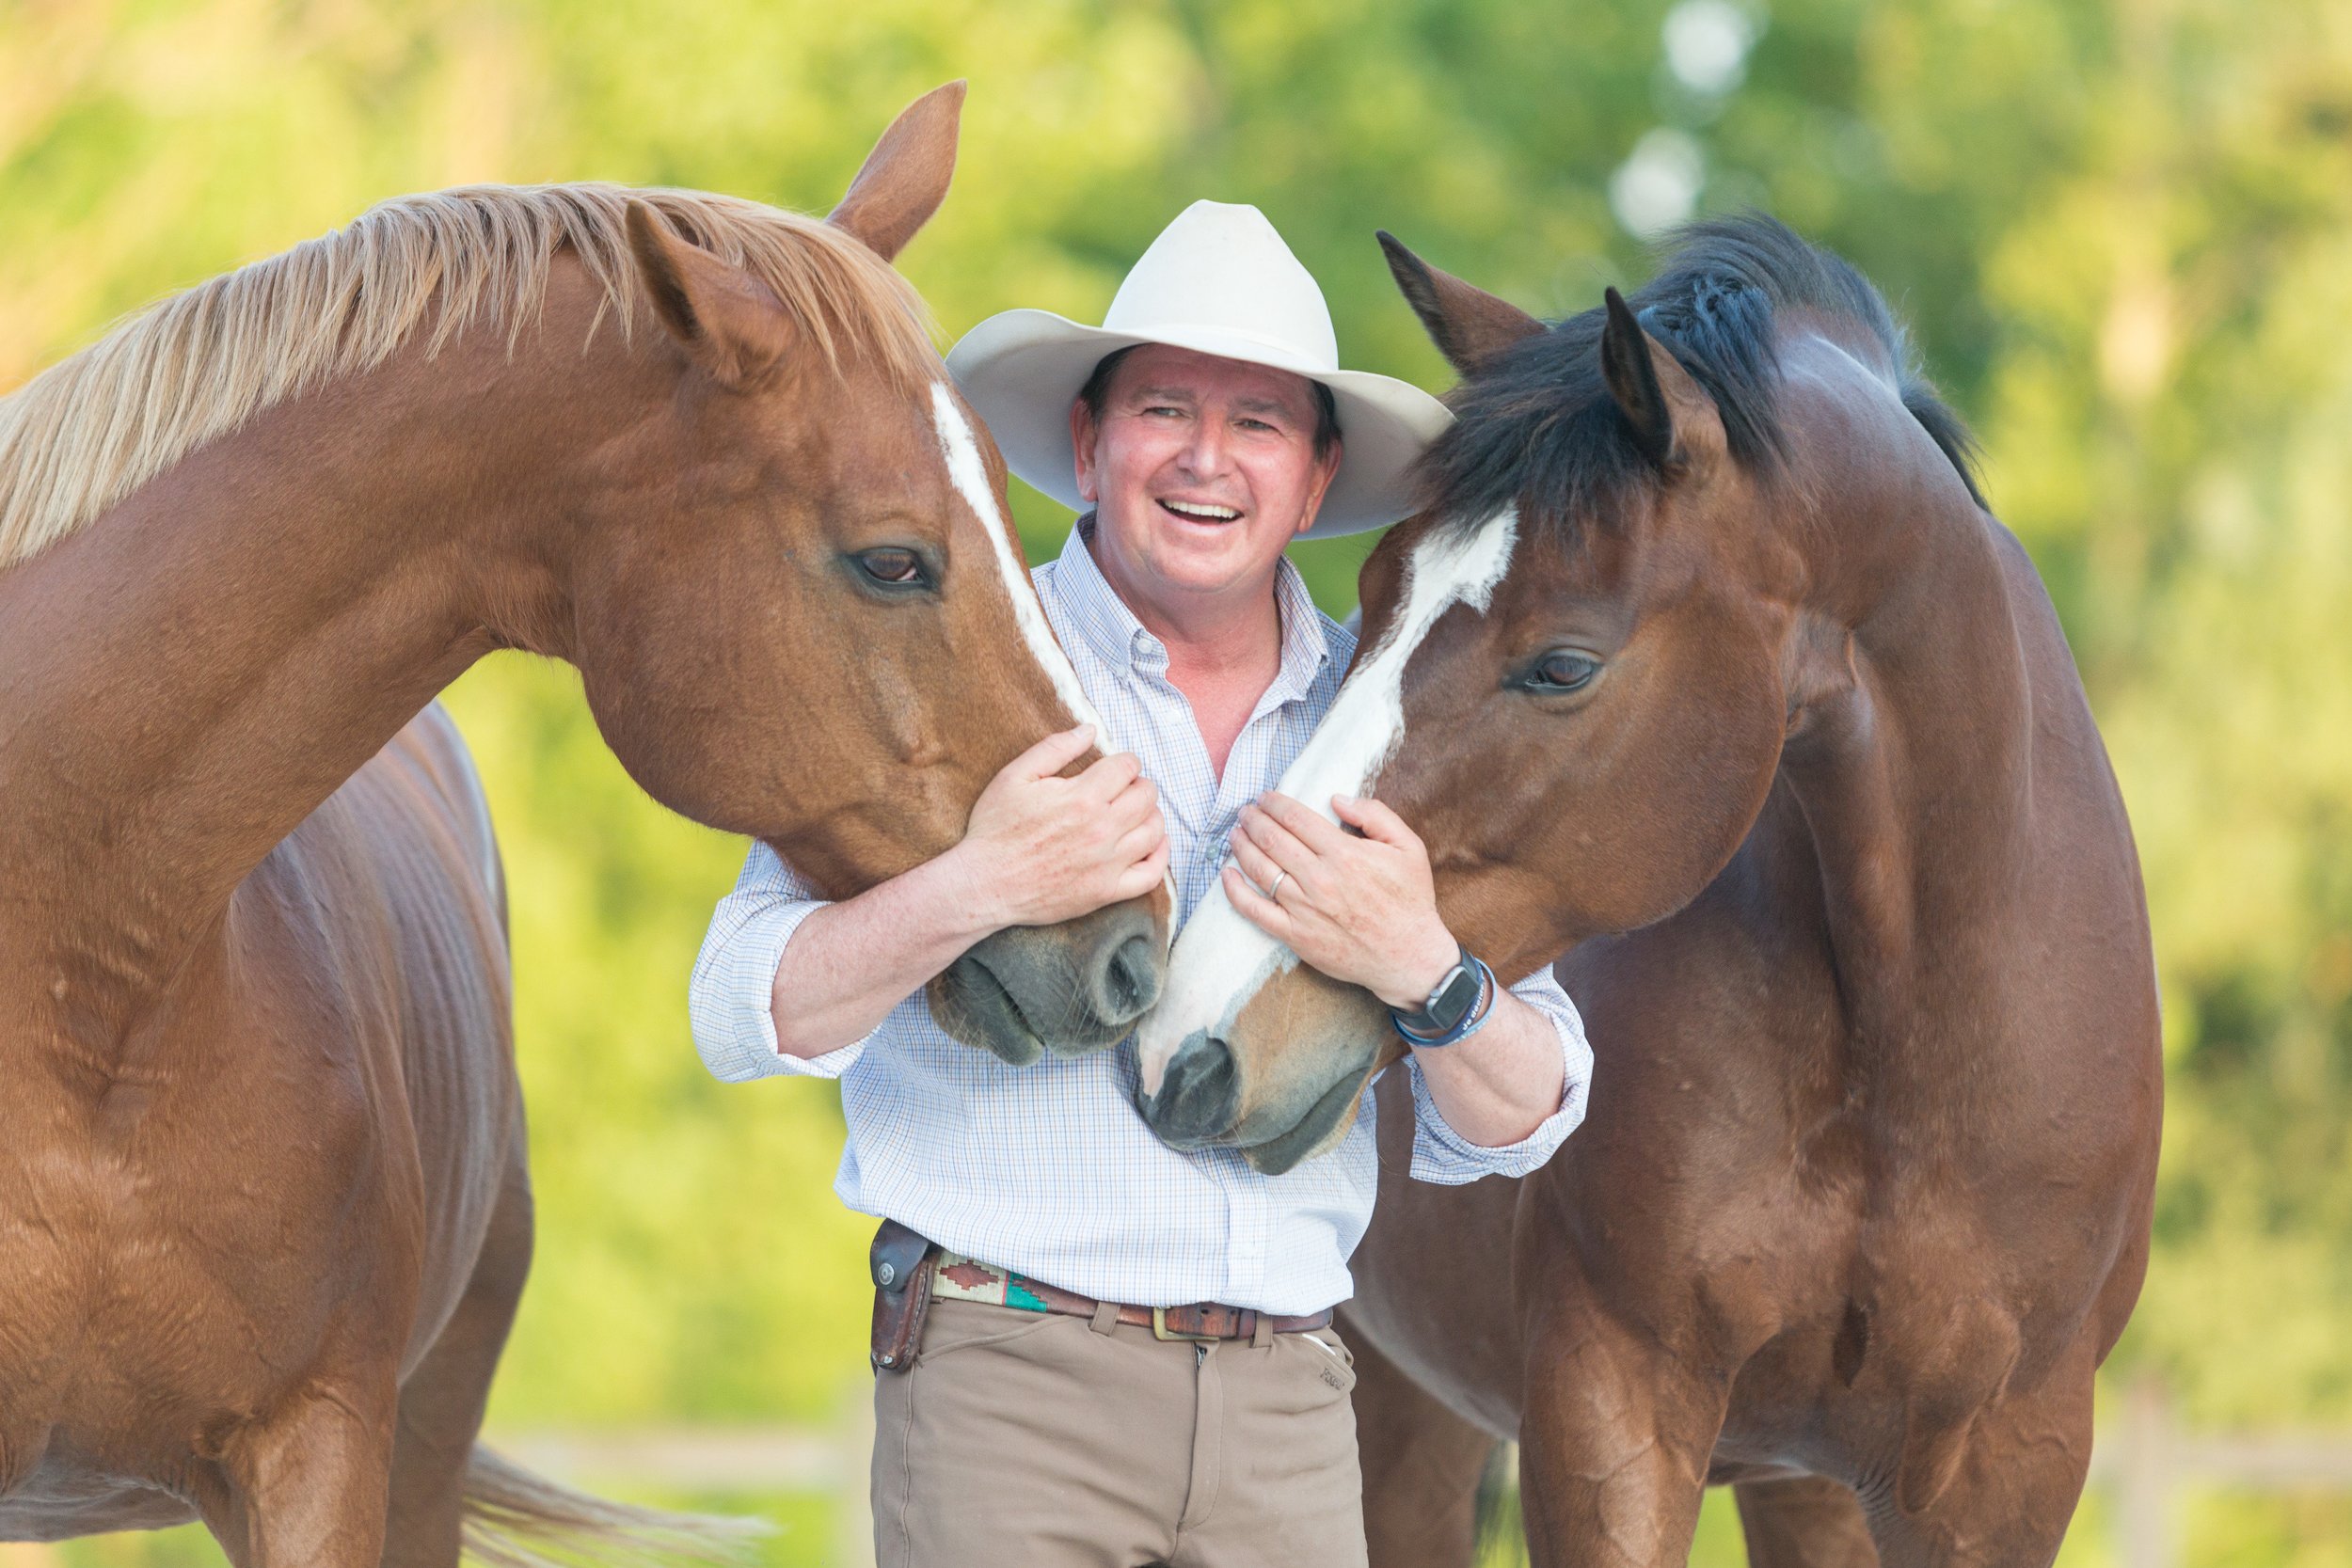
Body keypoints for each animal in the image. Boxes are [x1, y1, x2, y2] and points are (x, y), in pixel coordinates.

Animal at [1134, 217, 2154, 1568]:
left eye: (1563, 664)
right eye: (1373, 598)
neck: (1906, 1040)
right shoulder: (1612, 1406)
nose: (1189, 1044)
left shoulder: (2001, 1466)